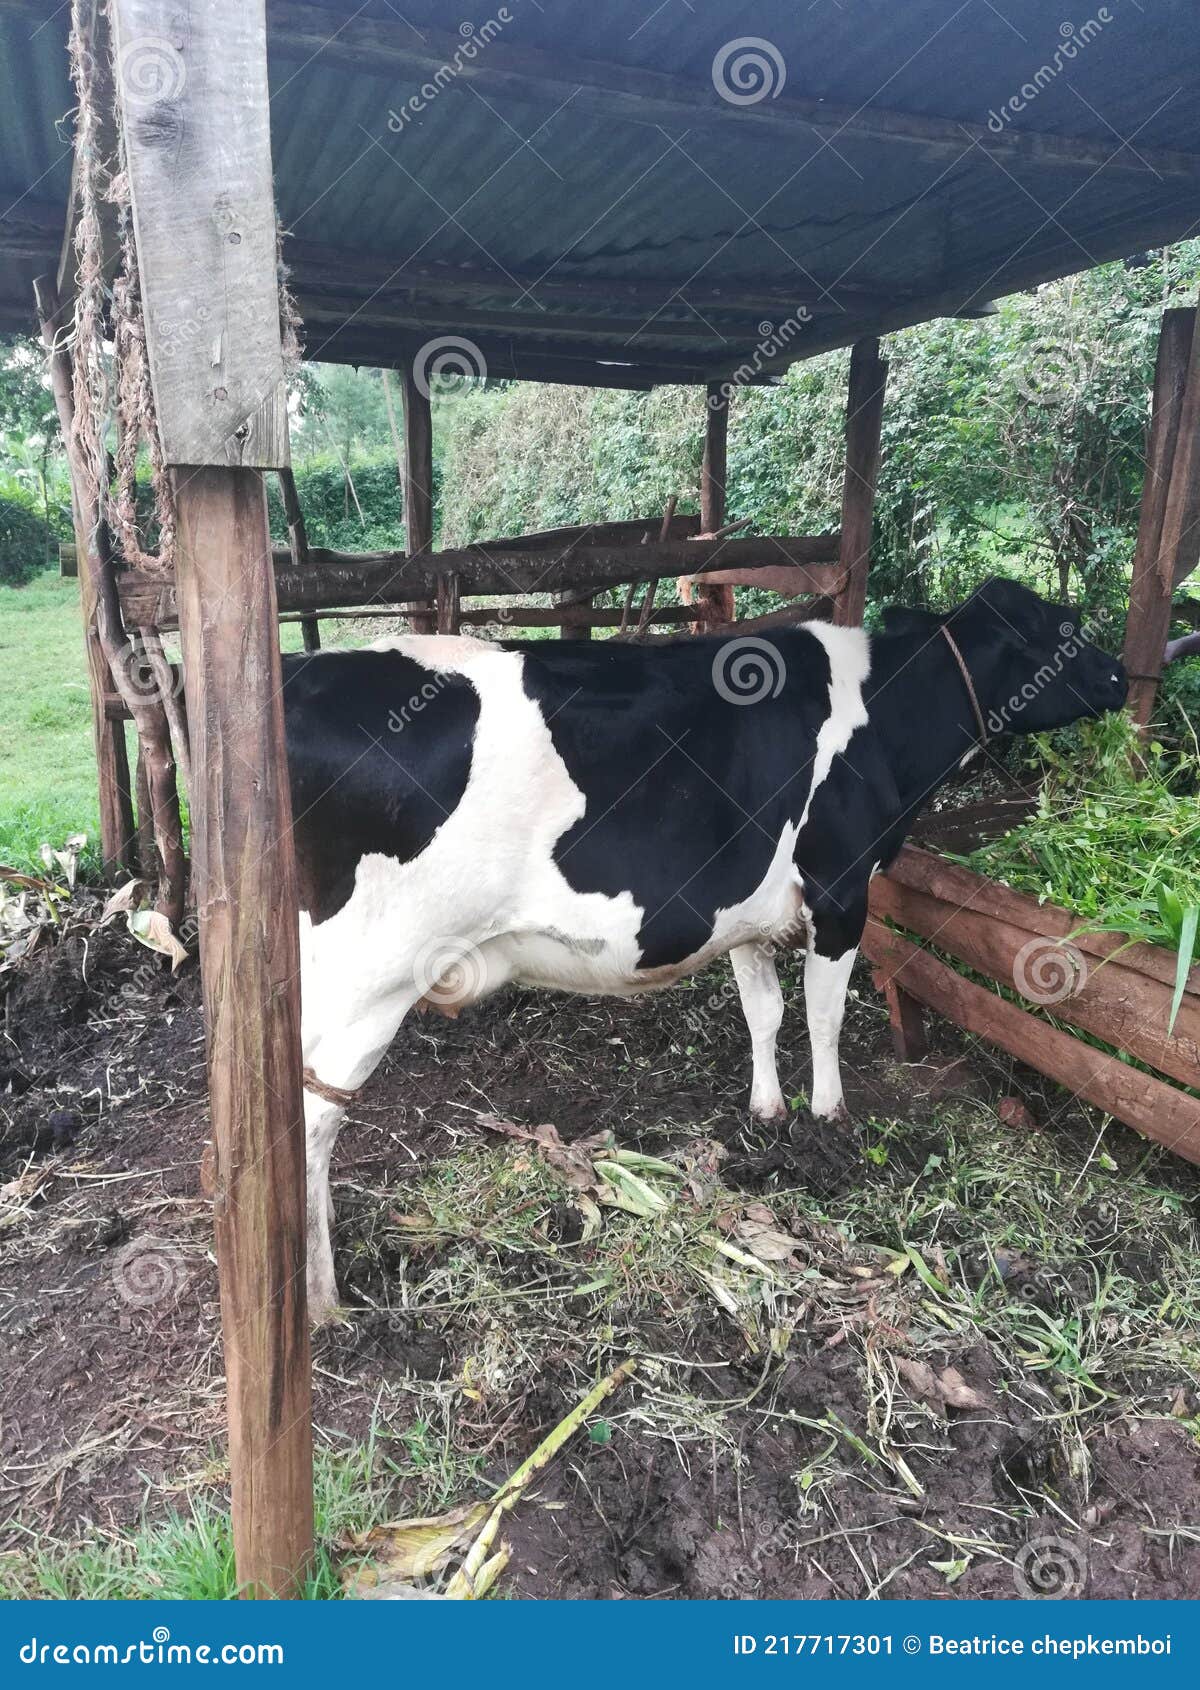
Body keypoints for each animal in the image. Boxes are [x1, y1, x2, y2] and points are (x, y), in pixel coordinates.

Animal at [284, 577, 1128, 1320]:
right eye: (1062, 629)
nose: (1123, 675)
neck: (886, 721)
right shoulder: (841, 890)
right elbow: (822, 1015)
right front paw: (830, 1120)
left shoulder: (746, 914)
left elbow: (764, 1011)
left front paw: (767, 1110)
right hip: (366, 977)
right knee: (310, 1121)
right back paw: (322, 1299)